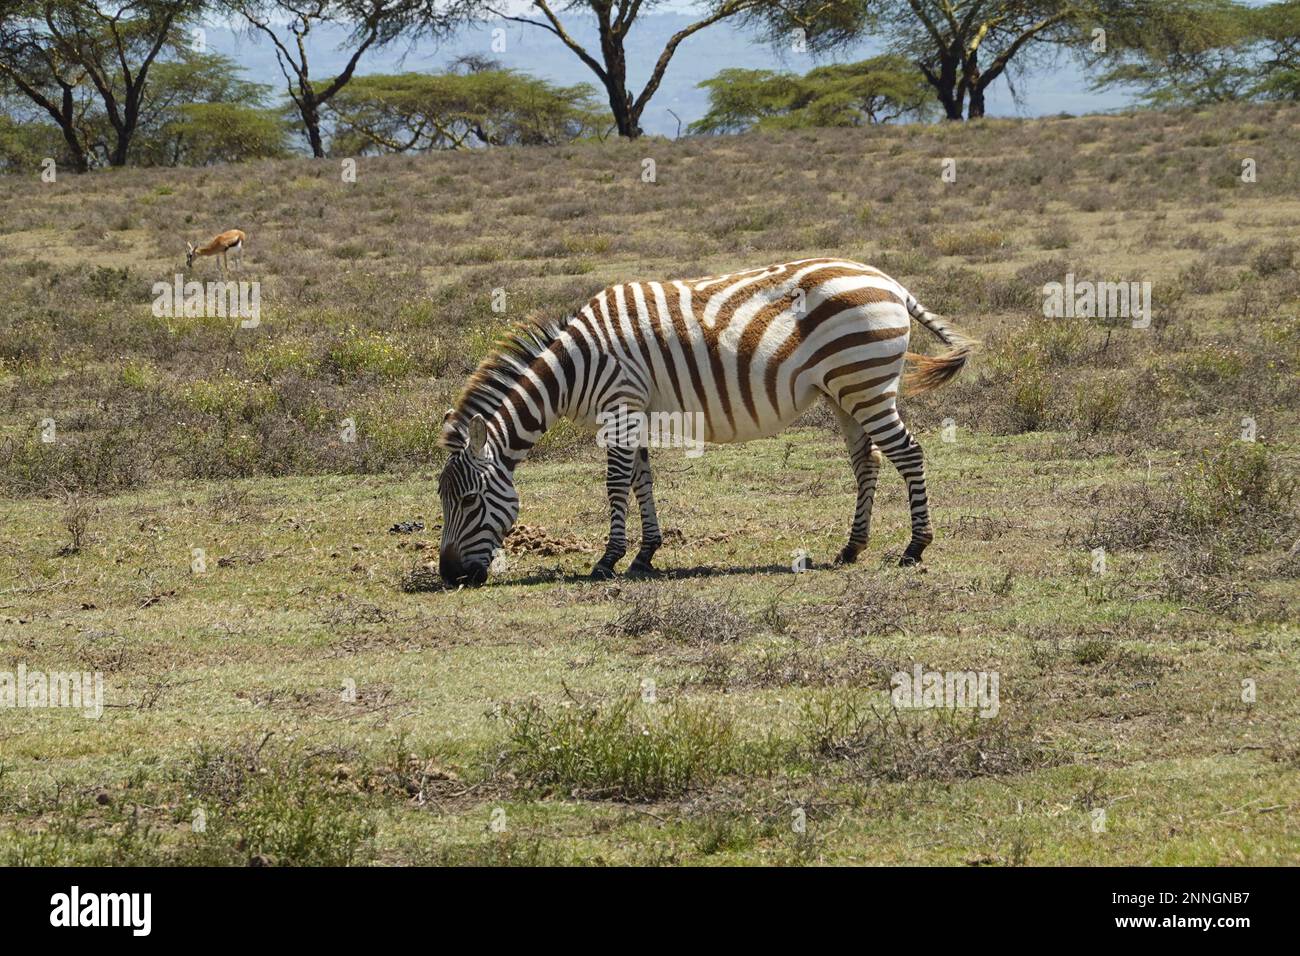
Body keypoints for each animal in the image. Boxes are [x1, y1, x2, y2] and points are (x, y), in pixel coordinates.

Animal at [437, 258, 974, 586]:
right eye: (443, 500)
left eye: (468, 500)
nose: (449, 575)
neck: (576, 367)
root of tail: (891, 283)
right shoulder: (634, 411)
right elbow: (641, 480)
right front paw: (646, 554)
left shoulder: (620, 403)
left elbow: (615, 484)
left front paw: (608, 560)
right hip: (846, 391)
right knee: (868, 462)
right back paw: (851, 548)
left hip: (865, 381)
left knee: (908, 453)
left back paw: (915, 547)